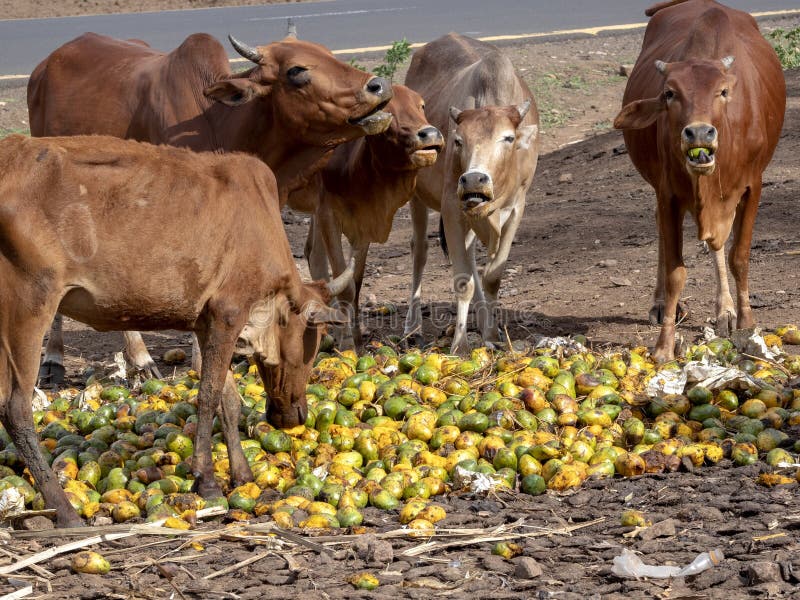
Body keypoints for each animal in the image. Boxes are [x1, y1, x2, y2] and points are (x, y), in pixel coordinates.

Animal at [0, 134, 352, 526]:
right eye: (313, 342)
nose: (296, 415)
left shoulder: (207, 320)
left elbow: (229, 400)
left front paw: (241, 474)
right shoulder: (229, 312)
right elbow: (208, 395)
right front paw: (207, 480)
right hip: (29, 303)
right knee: (15, 407)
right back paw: (63, 509)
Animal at [27, 30, 393, 384]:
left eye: (329, 54)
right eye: (296, 70)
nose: (379, 85)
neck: (220, 122)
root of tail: (44, 66)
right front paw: (203, 361)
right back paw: (66, 359)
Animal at [295, 85, 445, 348]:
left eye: (422, 105)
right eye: (387, 109)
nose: (431, 133)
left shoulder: (360, 225)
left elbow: (355, 281)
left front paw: (354, 336)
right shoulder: (328, 213)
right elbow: (345, 286)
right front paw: (347, 344)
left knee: (313, 254)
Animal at [401, 33, 539, 355]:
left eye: (508, 138)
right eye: (459, 140)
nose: (474, 179)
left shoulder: (516, 208)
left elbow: (492, 277)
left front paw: (491, 333)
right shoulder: (452, 207)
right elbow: (463, 281)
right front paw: (460, 345)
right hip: (417, 196)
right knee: (419, 251)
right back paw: (412, 328)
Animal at [613, 0, 786, 363]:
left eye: (723, 91)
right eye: (669, 93)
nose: (699, 133)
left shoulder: (752, 186)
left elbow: (739, 257)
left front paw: (746, 322)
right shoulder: (668, 194)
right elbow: (676, 272)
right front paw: (664, 345)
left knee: (719, 246)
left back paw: (725, 310)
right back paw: (661, 304)